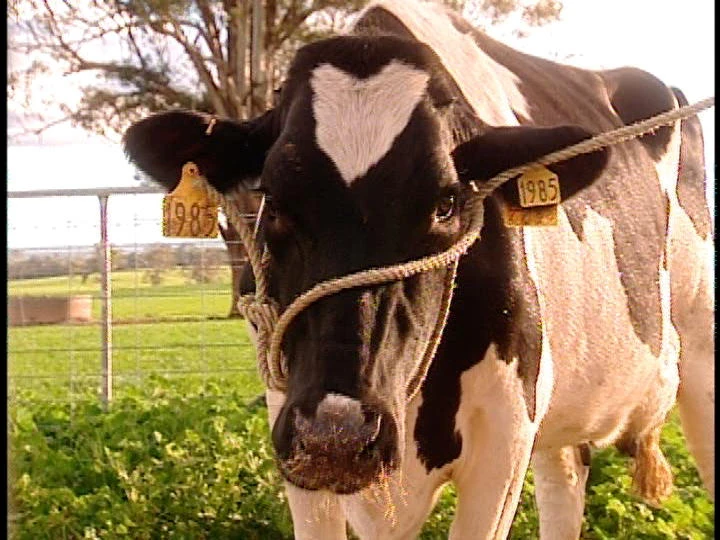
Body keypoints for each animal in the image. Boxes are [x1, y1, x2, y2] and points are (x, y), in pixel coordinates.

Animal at [122, 1, 714, 538]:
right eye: (275, 197)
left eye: (446, 203)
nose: (336, 435)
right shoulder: (288, 423)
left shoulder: (504, 442)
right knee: (564, 480)